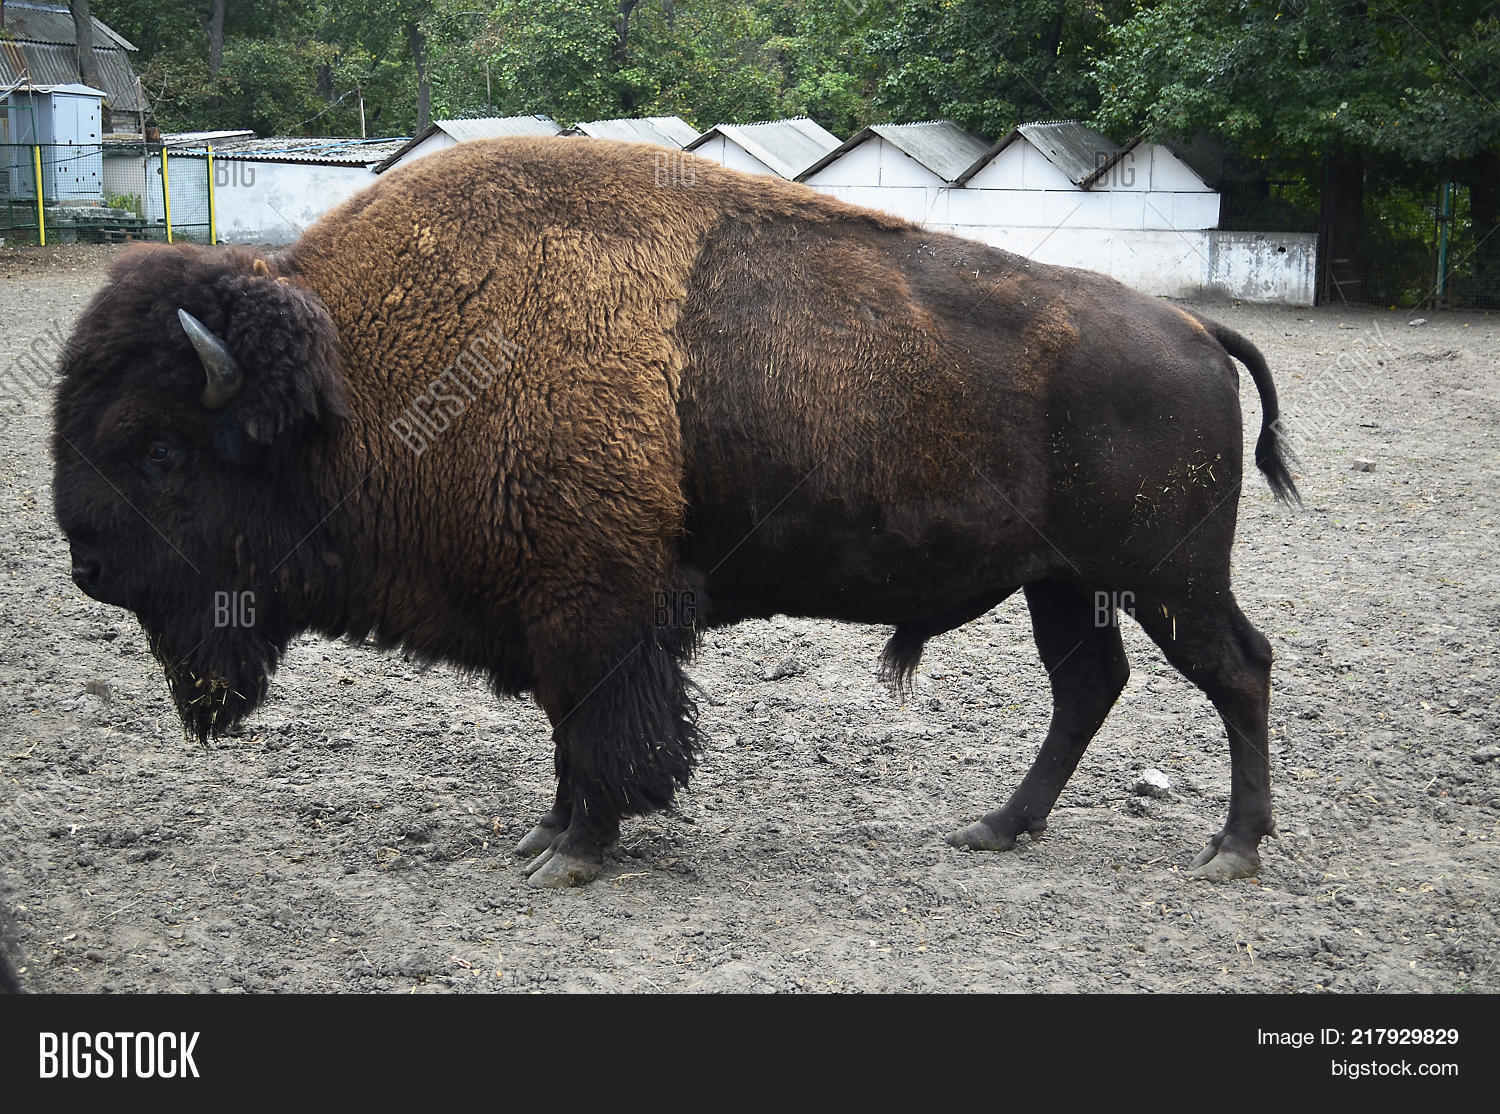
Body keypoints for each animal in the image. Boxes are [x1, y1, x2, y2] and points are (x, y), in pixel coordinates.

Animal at [53, 137, 1297, 888]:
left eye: (159, 450)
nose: (87, 567)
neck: (360, 380)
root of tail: (1196, 329)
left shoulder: (595, 609)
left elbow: (606, 728)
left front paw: (576, 850)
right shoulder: (553, 612)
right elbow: (568, 729)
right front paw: (549, 832)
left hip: (1169, 579)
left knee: (1237, 669)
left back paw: (1230, 849)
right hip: (1065, 584)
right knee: (1089, 686)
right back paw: (997, 825)